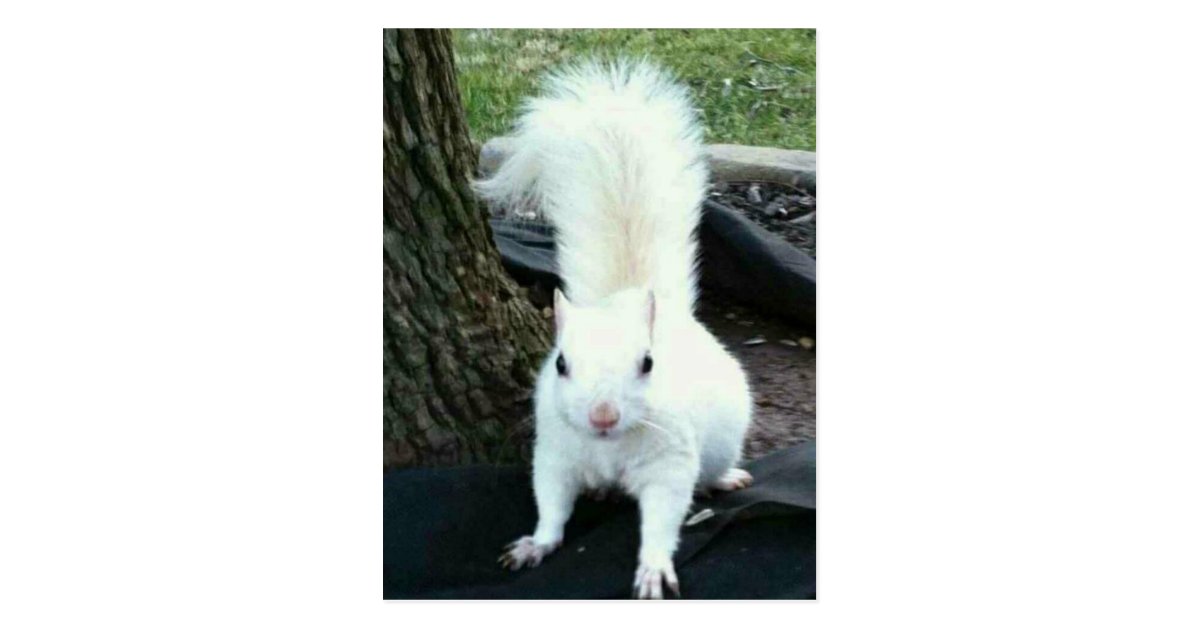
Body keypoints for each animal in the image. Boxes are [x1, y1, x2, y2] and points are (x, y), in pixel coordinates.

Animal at [476, 59, 754, 599]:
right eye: (561, 364)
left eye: (648, 363)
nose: (602, 416)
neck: (609, 447)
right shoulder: (556, 454)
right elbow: (552, 502)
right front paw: (536, 544)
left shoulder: (670, 461)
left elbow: (664, 516)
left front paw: (653, 570)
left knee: (712, 468)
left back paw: (726, 478)